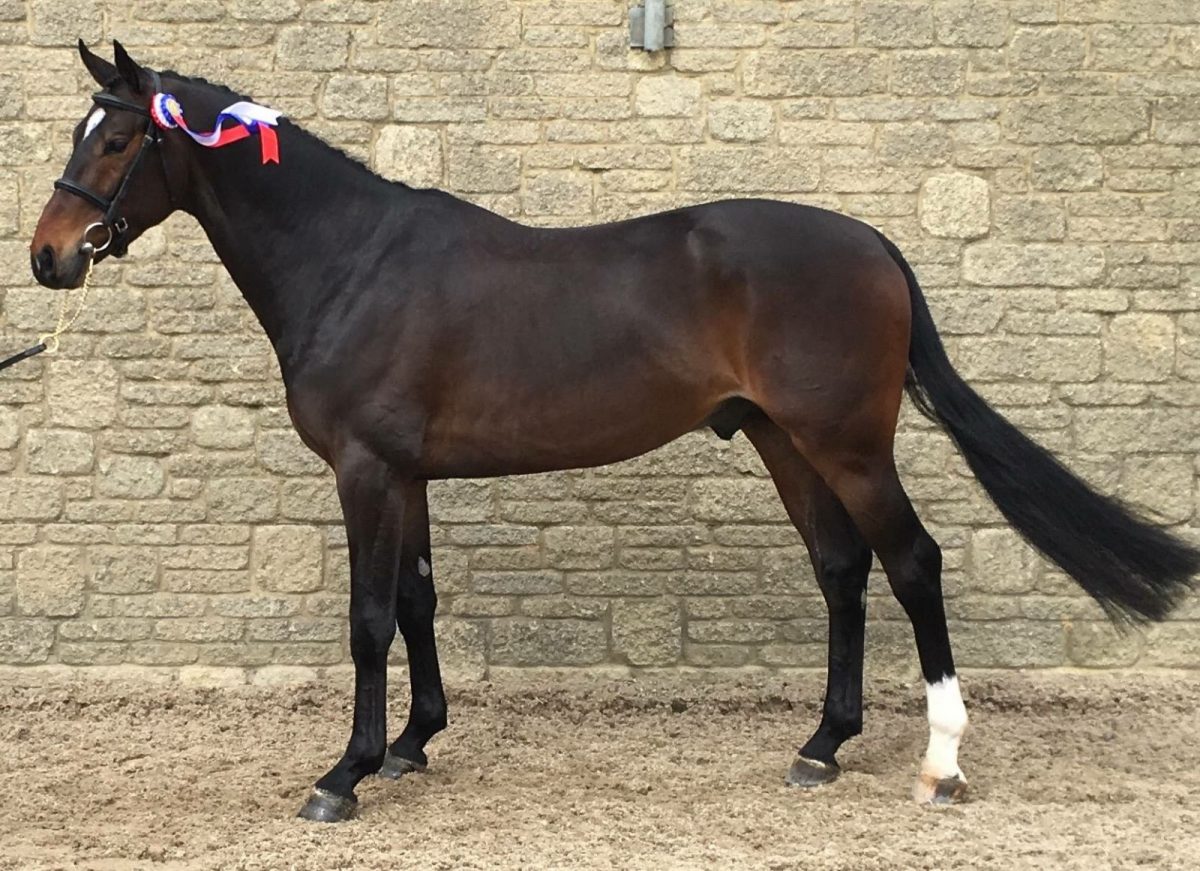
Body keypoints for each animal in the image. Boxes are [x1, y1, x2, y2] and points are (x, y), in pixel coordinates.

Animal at [29, 41, 1199, 823]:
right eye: (82, 131)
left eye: (123, 136)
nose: (50, 256)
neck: (353, 259)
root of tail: (871, 240)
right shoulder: (406, 474)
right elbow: (415, 600)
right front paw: (412, 743)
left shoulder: (365, 470)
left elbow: (366, 618)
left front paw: (342, 775)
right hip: (783, 440)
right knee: (842, 569)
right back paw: (822, 744)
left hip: (850, 444)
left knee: (912, 561)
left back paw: (942, 763)